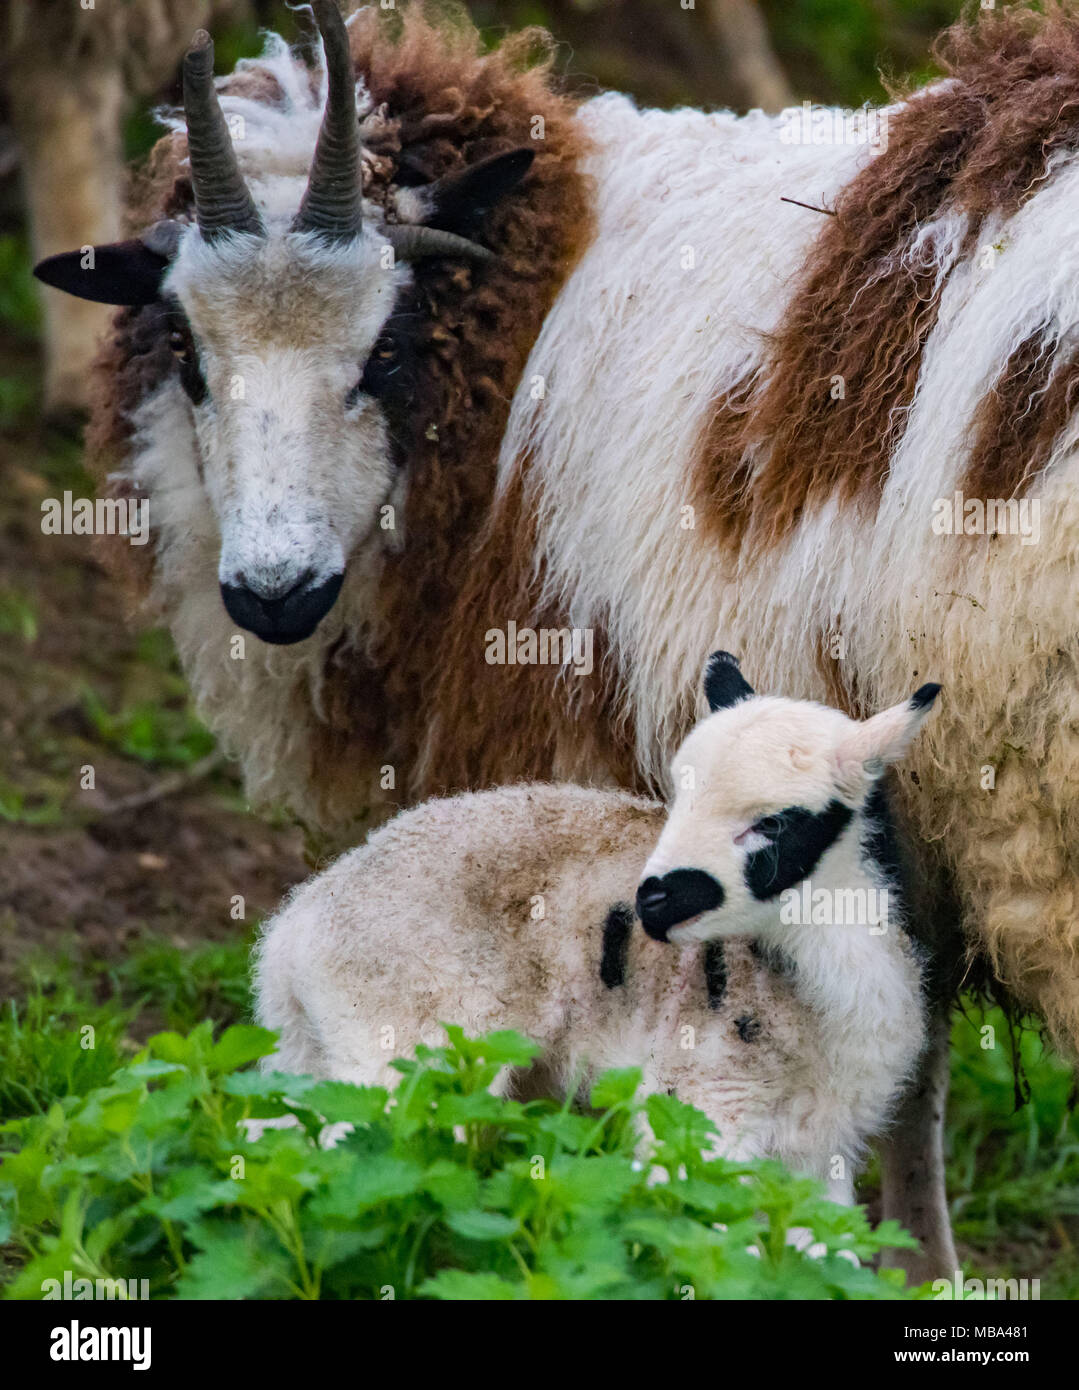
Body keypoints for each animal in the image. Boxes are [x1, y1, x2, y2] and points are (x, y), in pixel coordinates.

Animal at [255, 655, 937, 1201]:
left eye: (772, 824)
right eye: (678, 800)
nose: (652, 903)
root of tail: (295, 930)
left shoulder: (819, 1149)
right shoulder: (698, 1107)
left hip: (315, 1049)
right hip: (408, 1045)